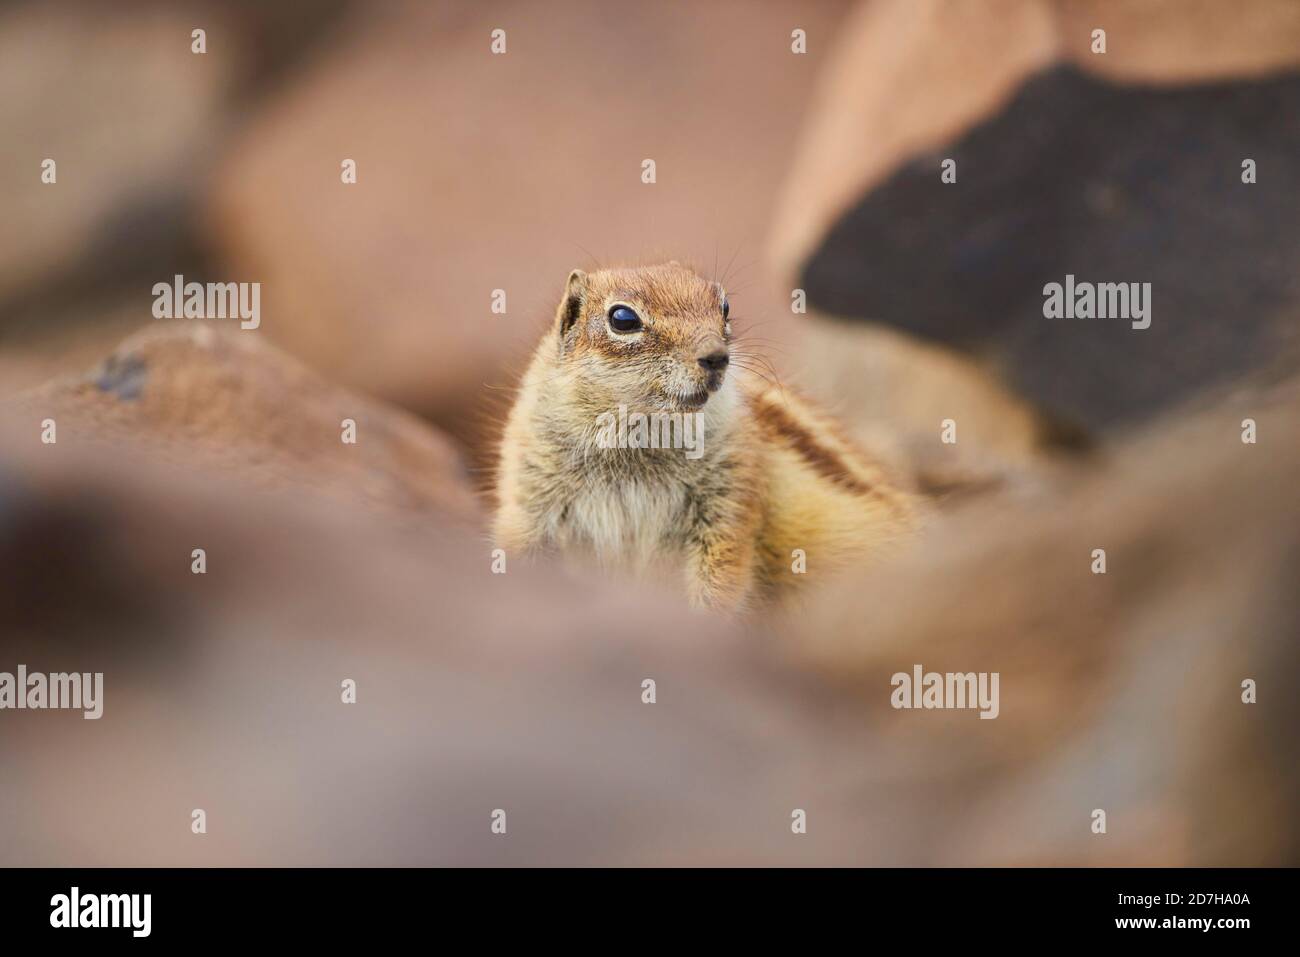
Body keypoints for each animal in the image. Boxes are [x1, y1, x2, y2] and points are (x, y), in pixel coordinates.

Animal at [493, 262, 917, 612]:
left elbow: (720, 577)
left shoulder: (729, 499)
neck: (639, 437)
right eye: (623, 318)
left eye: (724, 306)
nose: (717, 357)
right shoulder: (529, 495)